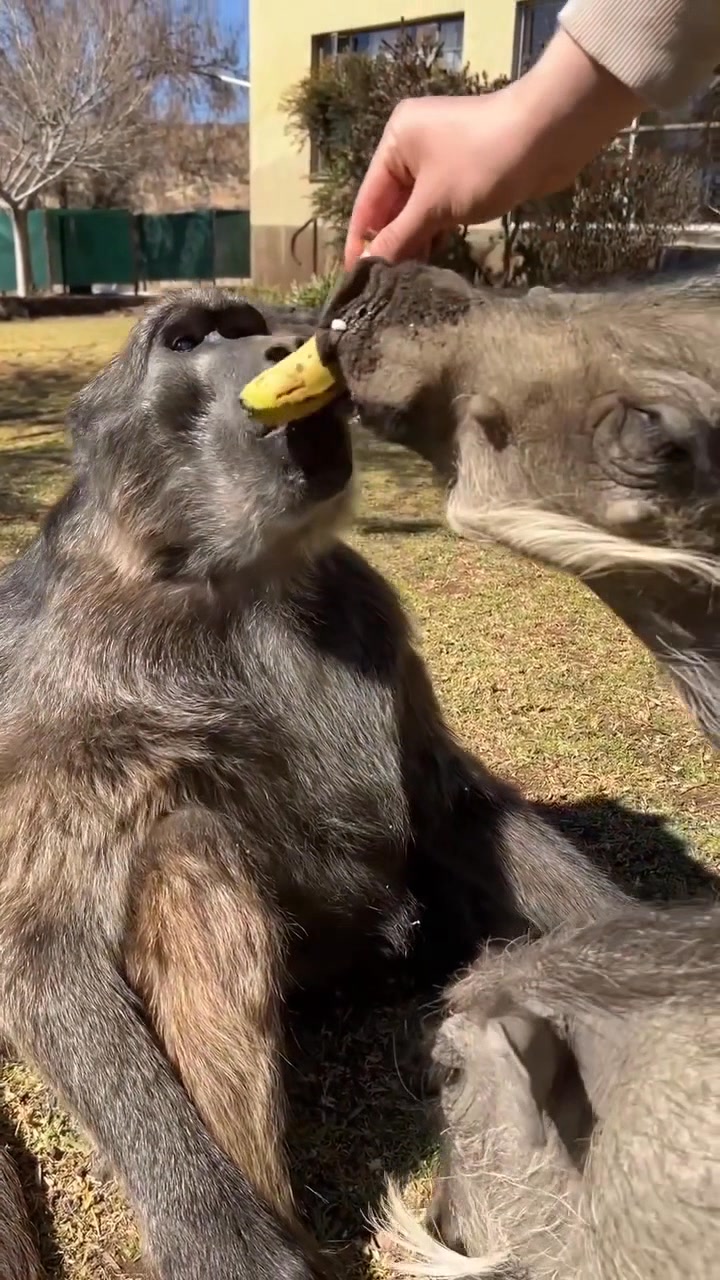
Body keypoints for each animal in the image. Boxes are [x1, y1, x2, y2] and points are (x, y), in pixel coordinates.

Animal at [0, 288, 630, 1280]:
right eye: (187, 340)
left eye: (249, 320)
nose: (291, 345)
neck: (230, 574)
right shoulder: (63, 669)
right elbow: (41, 944)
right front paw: (220, 1233)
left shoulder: (366, 607)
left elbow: (450, 803)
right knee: (189, 850)